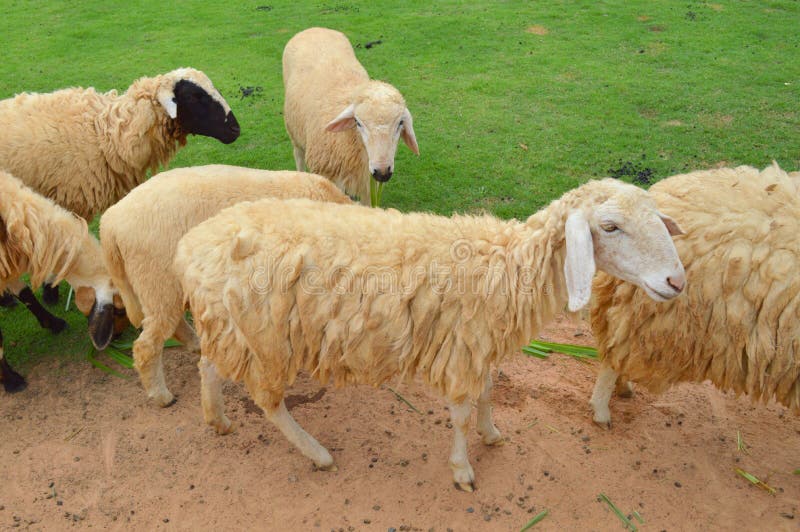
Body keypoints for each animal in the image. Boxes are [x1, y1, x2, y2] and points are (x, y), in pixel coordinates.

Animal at [0, 170, 125, 392]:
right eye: (119, 311)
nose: (118, 336)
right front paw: (11, 380)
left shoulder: (7, 265)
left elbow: (25, 293)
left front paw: (53, 323)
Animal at [99, 165, 351, 407]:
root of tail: (110, 222)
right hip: (156, 278)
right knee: (146, 345)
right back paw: (162, 396)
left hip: (161, 286)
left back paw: (194, 345)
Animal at [175, 178, 686, 491]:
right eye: (610, 226)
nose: (676, 282)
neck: (504, 265)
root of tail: (189, 247)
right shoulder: (463, 349)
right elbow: (460, 414)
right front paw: (463, 469)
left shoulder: (478, 345)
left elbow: (489, 392)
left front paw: (491, 433)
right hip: (265, 339)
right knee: (268, 401)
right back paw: (316, 453)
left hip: (228, 326)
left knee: (208, 365)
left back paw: (216, 419)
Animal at [282, 27, 419, 205]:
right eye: (358, 123)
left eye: (400, 123)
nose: (382, 172)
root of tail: (314, 28)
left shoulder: (367, 183)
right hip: (294, 130)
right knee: (298, 155)